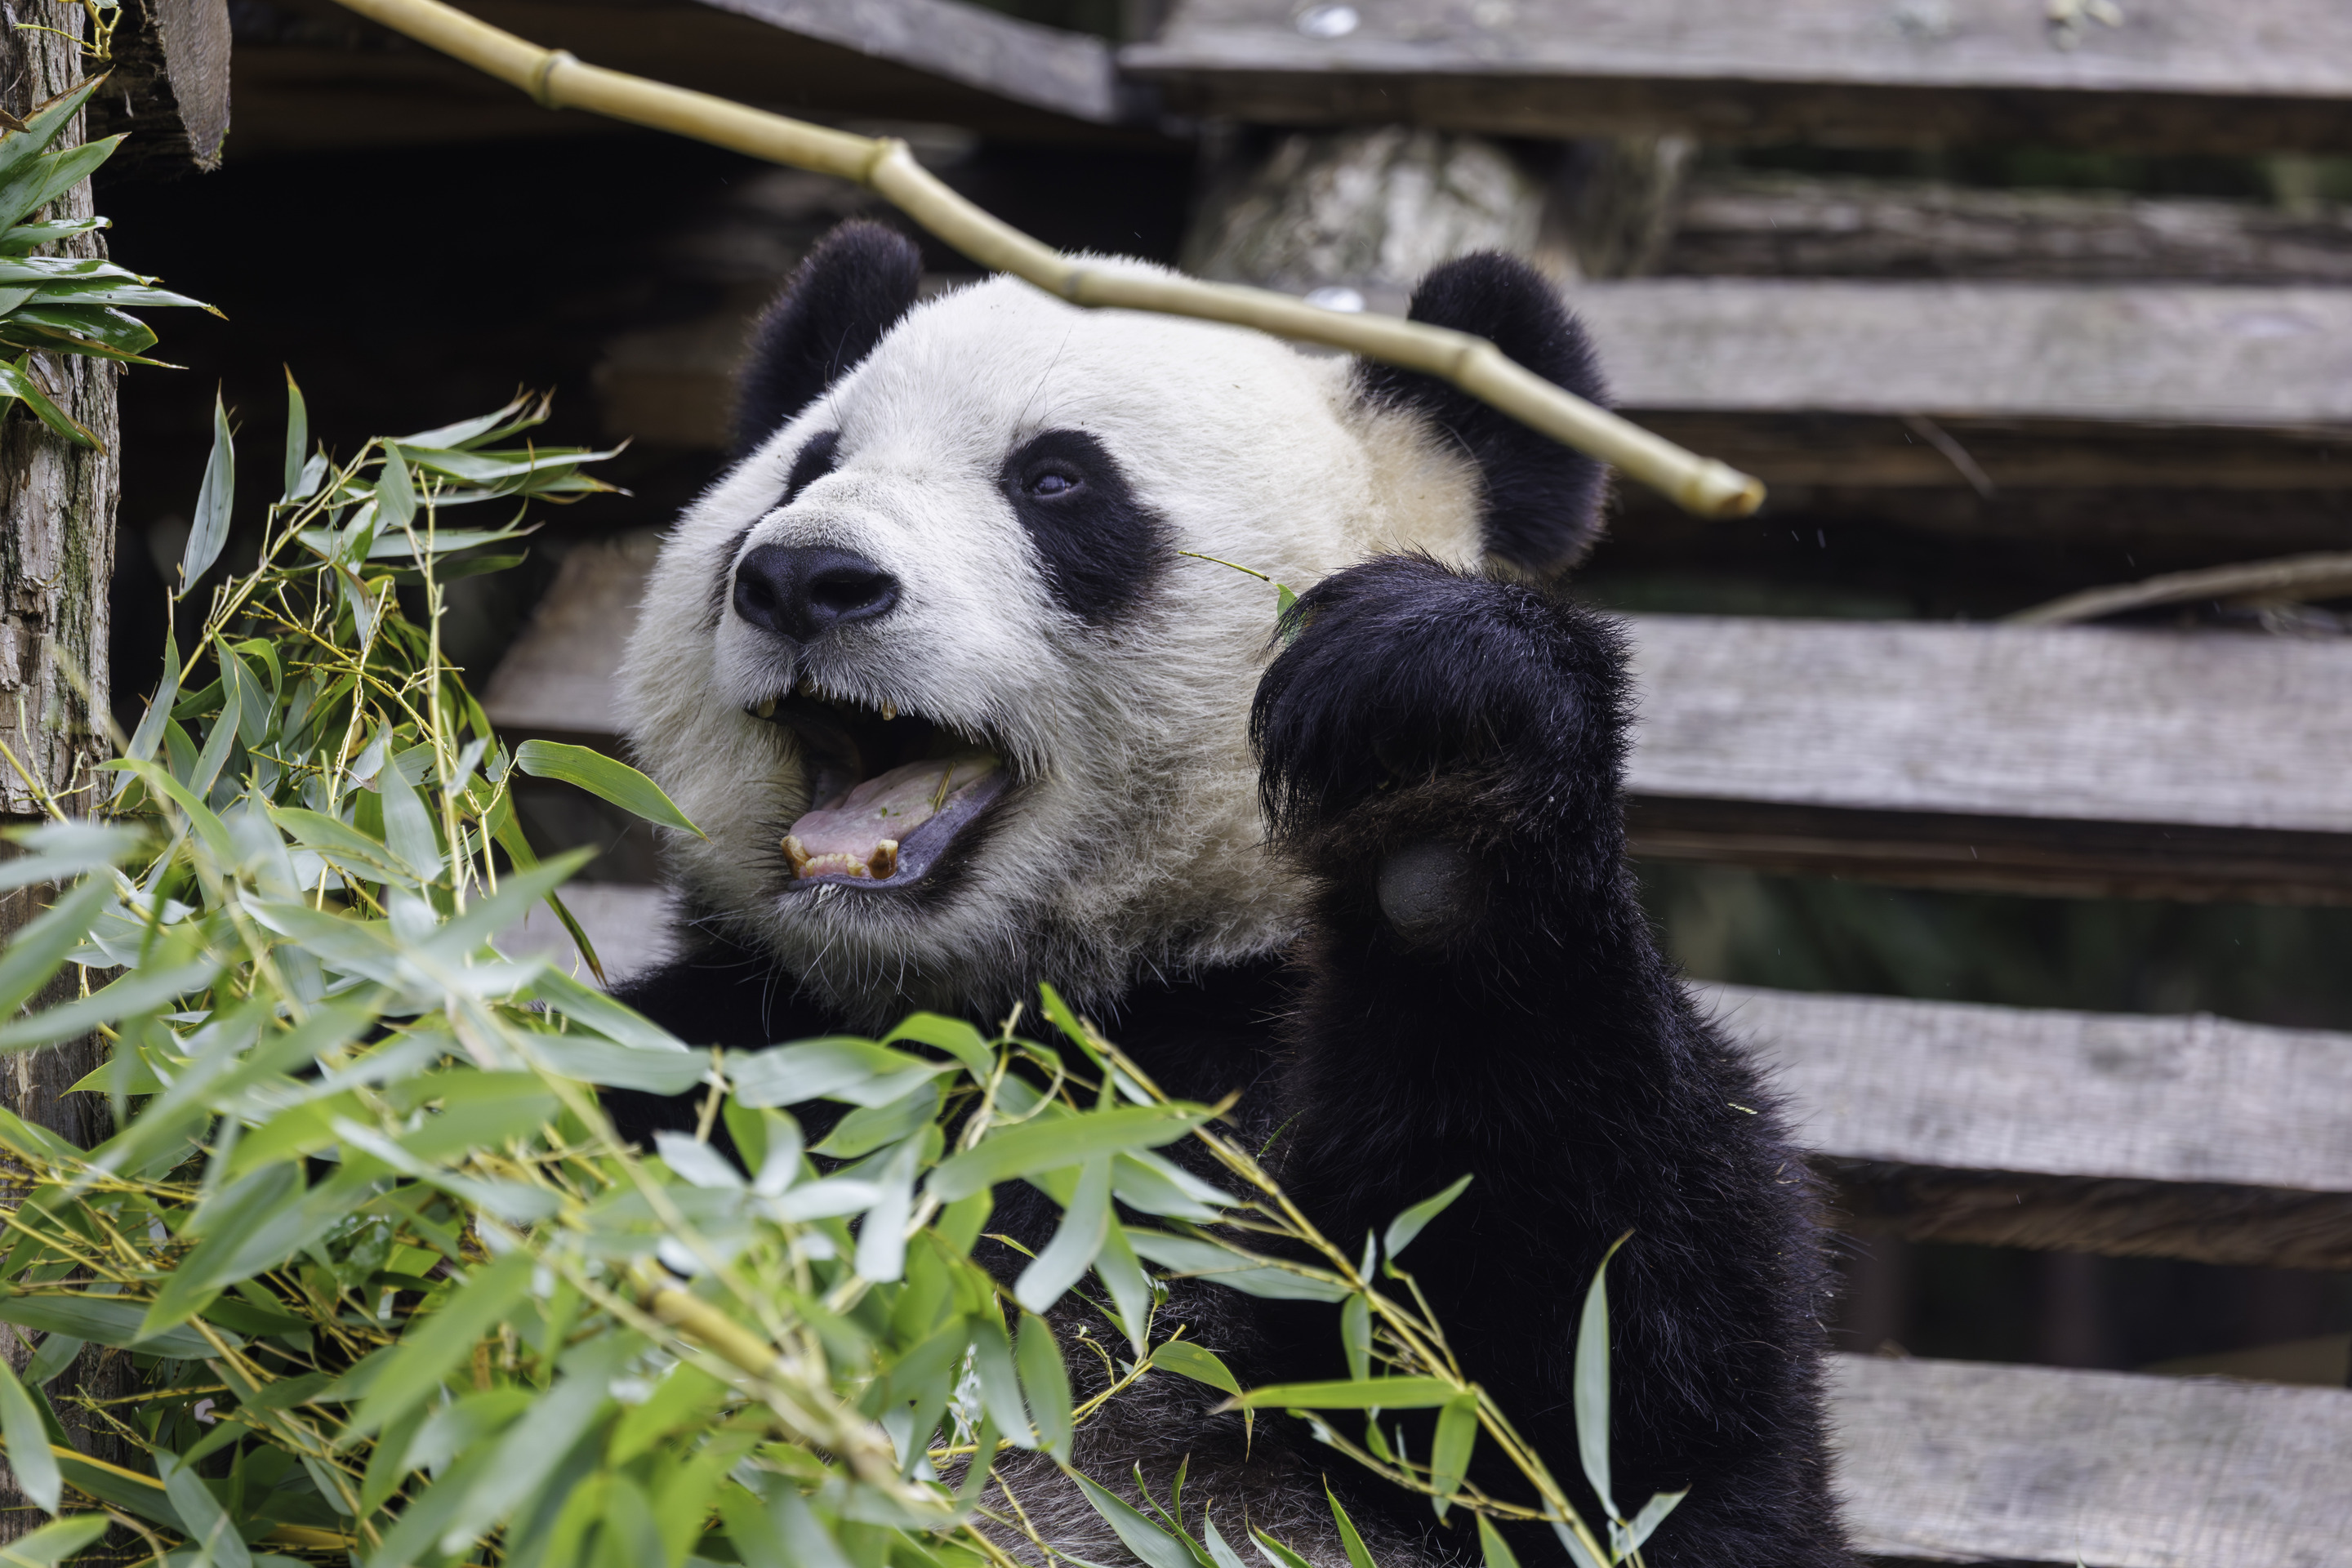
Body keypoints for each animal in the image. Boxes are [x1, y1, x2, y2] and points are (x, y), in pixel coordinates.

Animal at [606, 220, 1856, 1568]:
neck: (1029, 1017)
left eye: (1057, 482)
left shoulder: (1266, 1112)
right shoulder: (715, 1054)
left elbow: (1624, 1426)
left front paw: (1437, 783)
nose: (804, 575)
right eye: (805, 469)